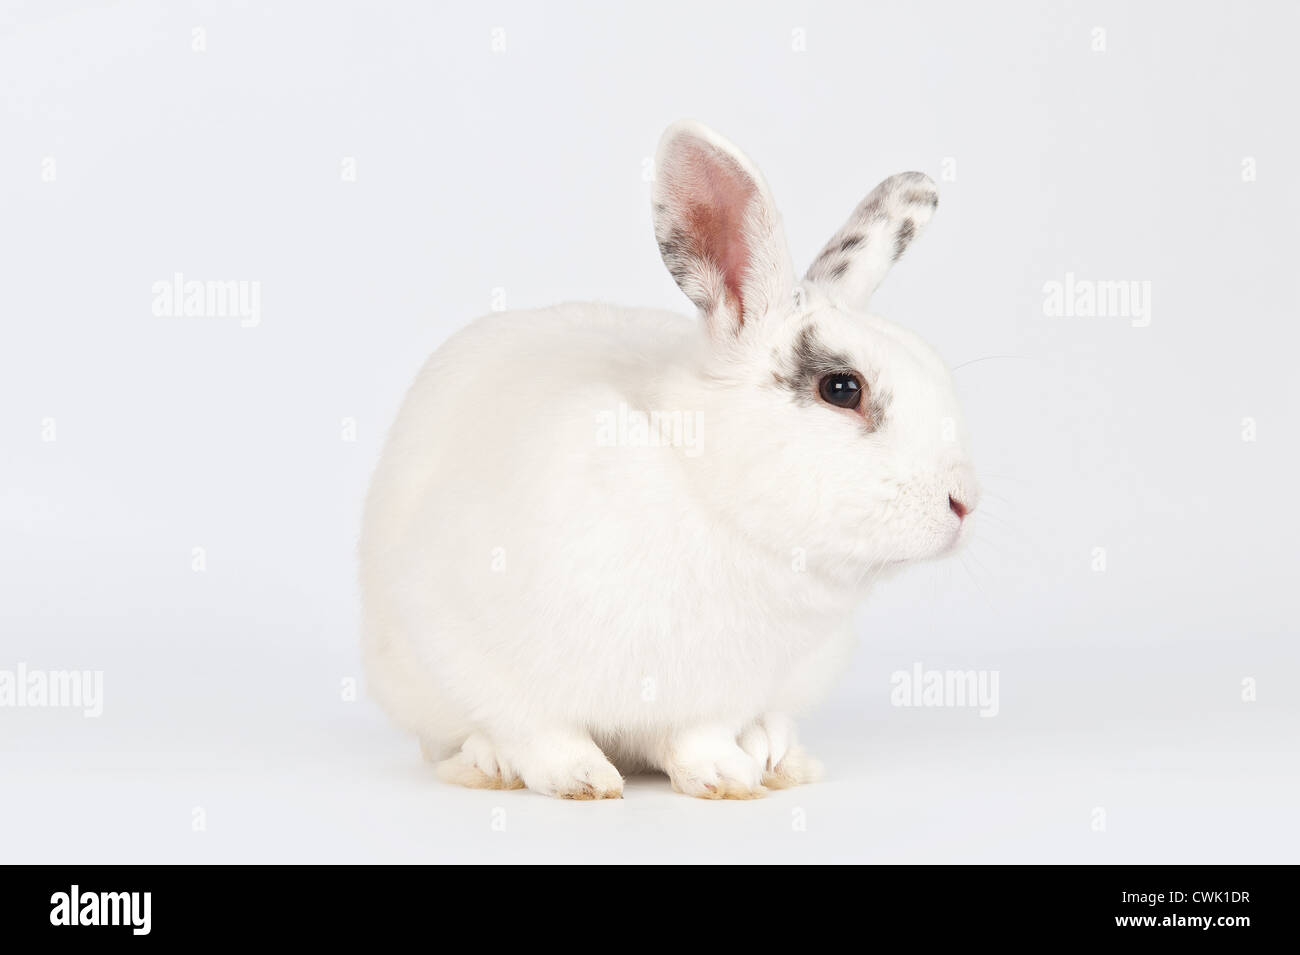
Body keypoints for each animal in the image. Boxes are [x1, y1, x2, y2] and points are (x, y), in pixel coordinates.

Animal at [359, 120, 977, 800]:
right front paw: (581, 780)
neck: (714, 507)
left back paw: (778, 755)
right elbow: (537, 730)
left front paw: (726, 777)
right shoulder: (474, 648)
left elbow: (695, 737)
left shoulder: (717, 695)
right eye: (842, 389)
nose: (963, 503)